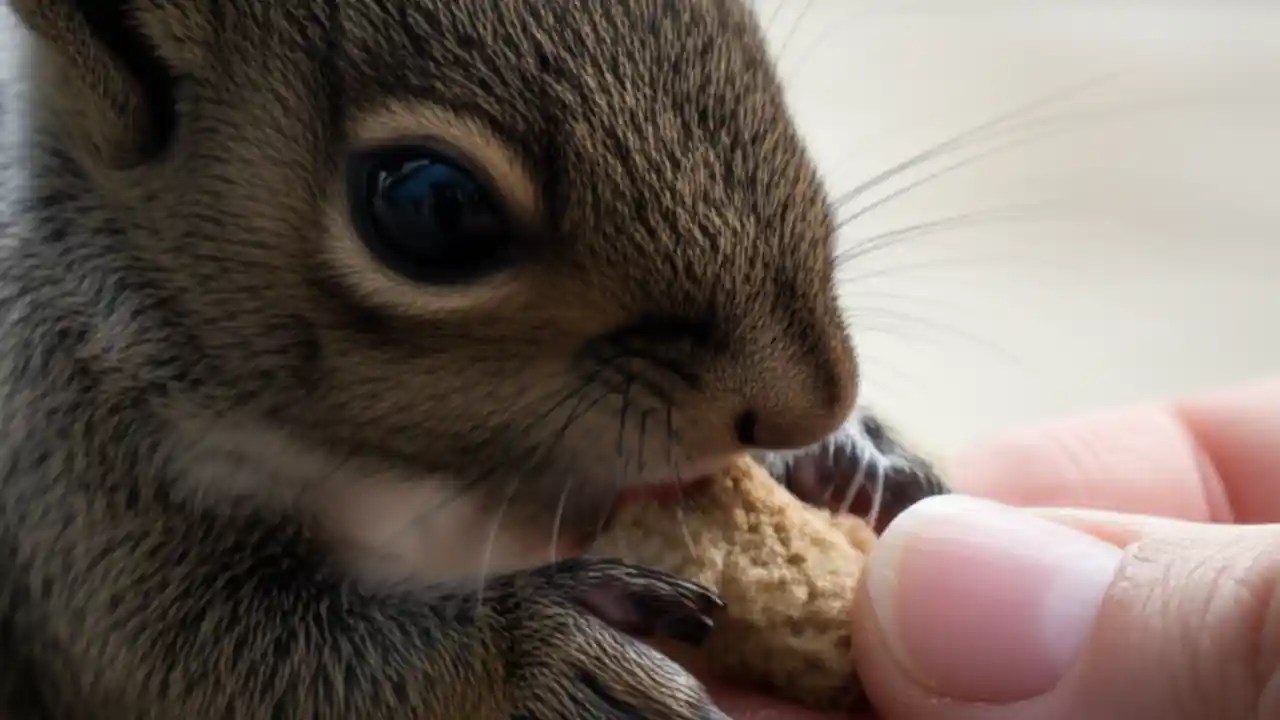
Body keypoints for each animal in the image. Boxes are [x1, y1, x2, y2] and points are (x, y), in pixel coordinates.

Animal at [0, 1, 949, 718]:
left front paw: (841, 456)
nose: (816, 401)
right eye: (435, 205)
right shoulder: (60, 453)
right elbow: (174, 654)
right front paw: (545, 654)